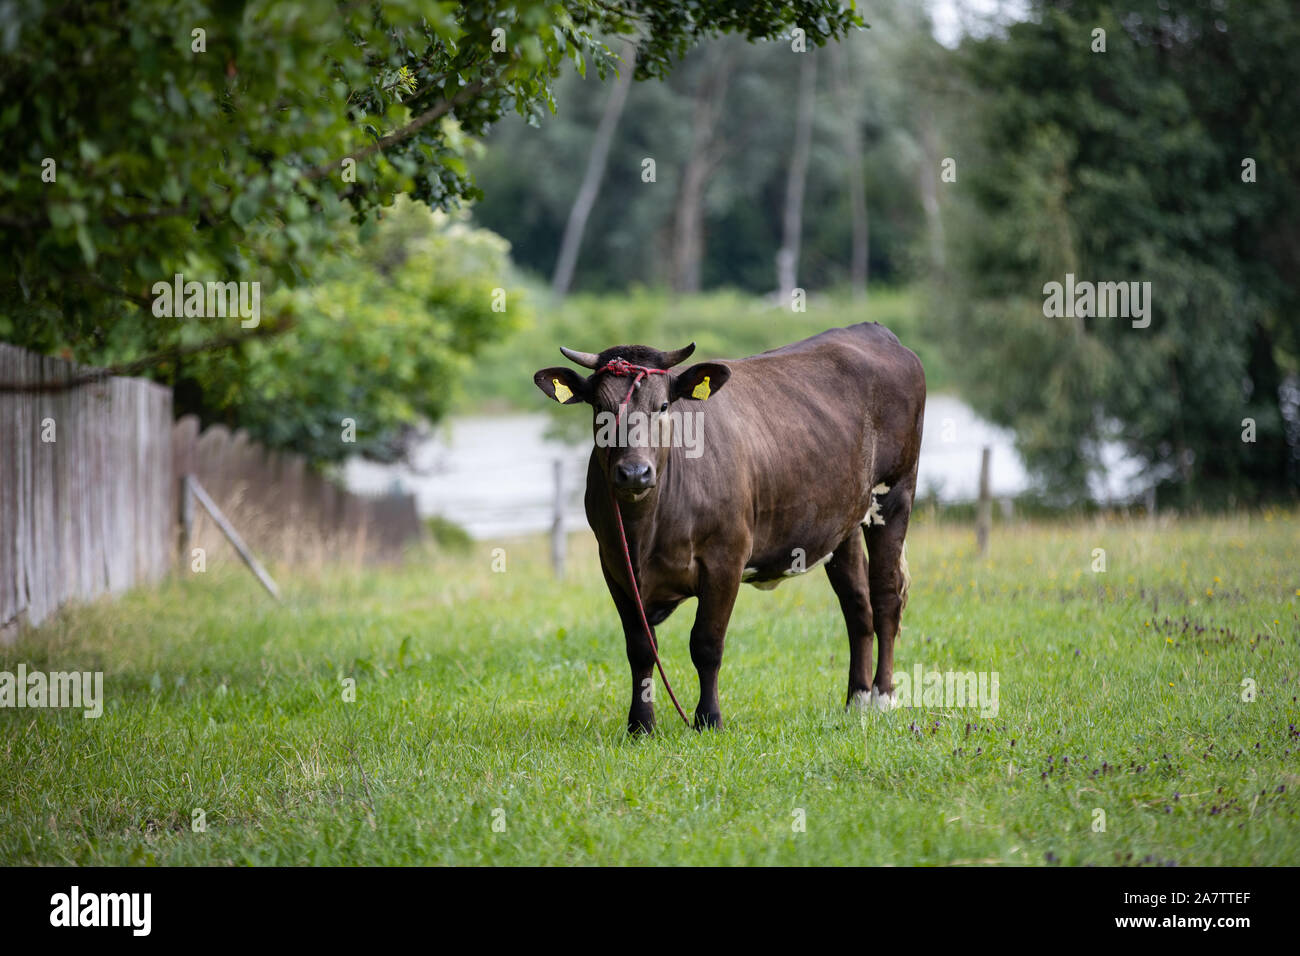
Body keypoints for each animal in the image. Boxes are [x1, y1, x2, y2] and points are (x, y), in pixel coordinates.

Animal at [534, 323, 925, 733]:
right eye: (600, 408)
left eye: (662, 406)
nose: (634, 472)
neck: (643, 531)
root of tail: (872, 330)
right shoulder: (614, 565)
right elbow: (640, 648)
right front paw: (640, 725)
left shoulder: (726, 558)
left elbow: (706, 643)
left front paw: (709, 718)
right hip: (842, 521)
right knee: (857, 604)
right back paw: (857, 699)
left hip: (895, 494)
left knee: (885, 597)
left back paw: (882, 697)